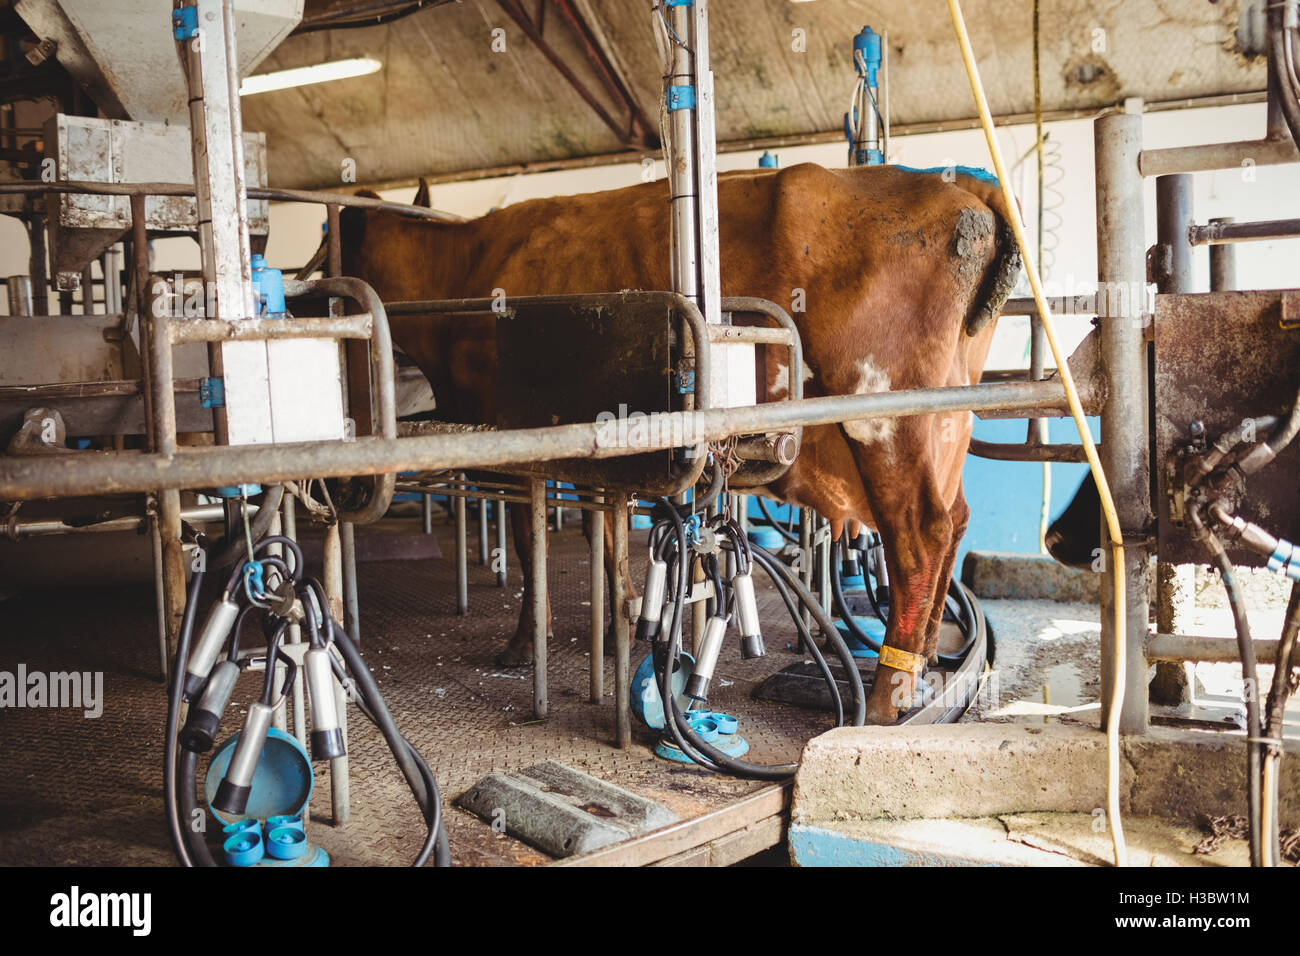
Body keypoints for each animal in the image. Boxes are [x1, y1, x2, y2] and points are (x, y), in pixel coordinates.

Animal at [340, 162, 1021, 723]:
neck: (465, 262)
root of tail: (963, 192)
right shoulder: (597, 455)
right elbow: (603, 533)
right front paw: (617, 619)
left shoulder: (514, 447)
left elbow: (530, 543)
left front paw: (523, 643)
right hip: (945, 425)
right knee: (955, 523)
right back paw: (925, 663)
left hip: (888, 420)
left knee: (921, 534)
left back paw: (887, 692)